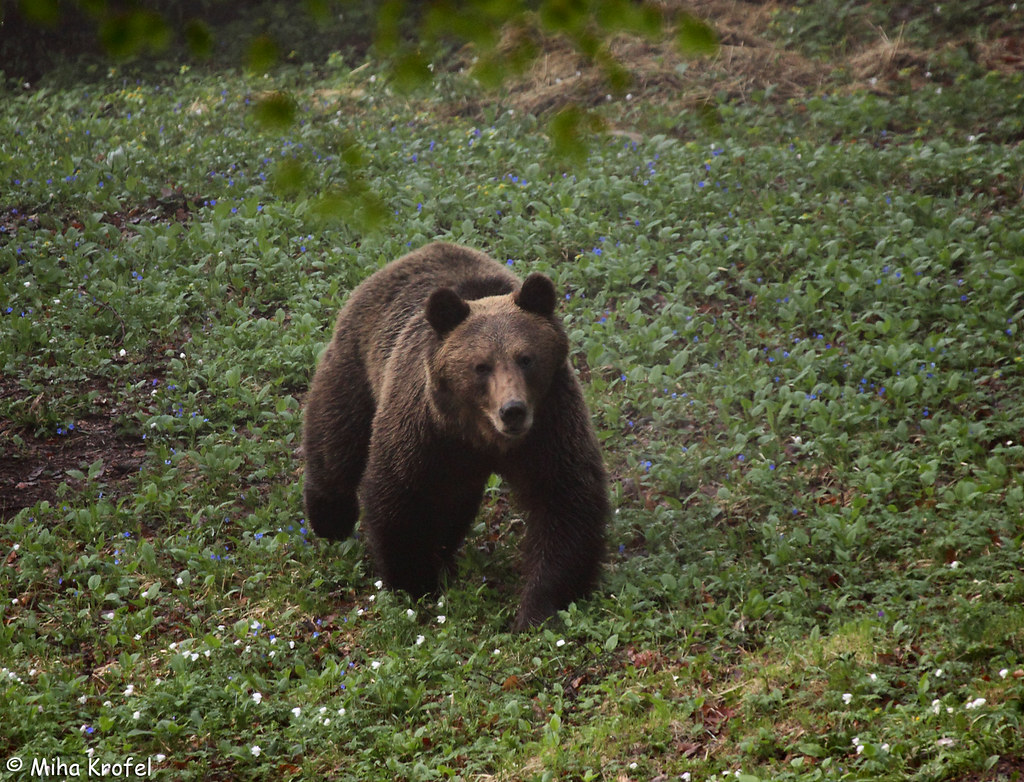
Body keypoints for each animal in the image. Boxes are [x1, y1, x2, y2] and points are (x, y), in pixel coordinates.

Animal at [302, 242, 609, 631]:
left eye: (526, 358)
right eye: (481, 366)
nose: (513, 410)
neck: (481, 434)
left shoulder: (549, 427)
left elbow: (567, 501)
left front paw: (537, 608)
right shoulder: (424, 429)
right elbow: (399, 493)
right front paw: (414, 584)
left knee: (453, 502)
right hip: (357, 363)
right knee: (336, 439)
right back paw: (329, 519)